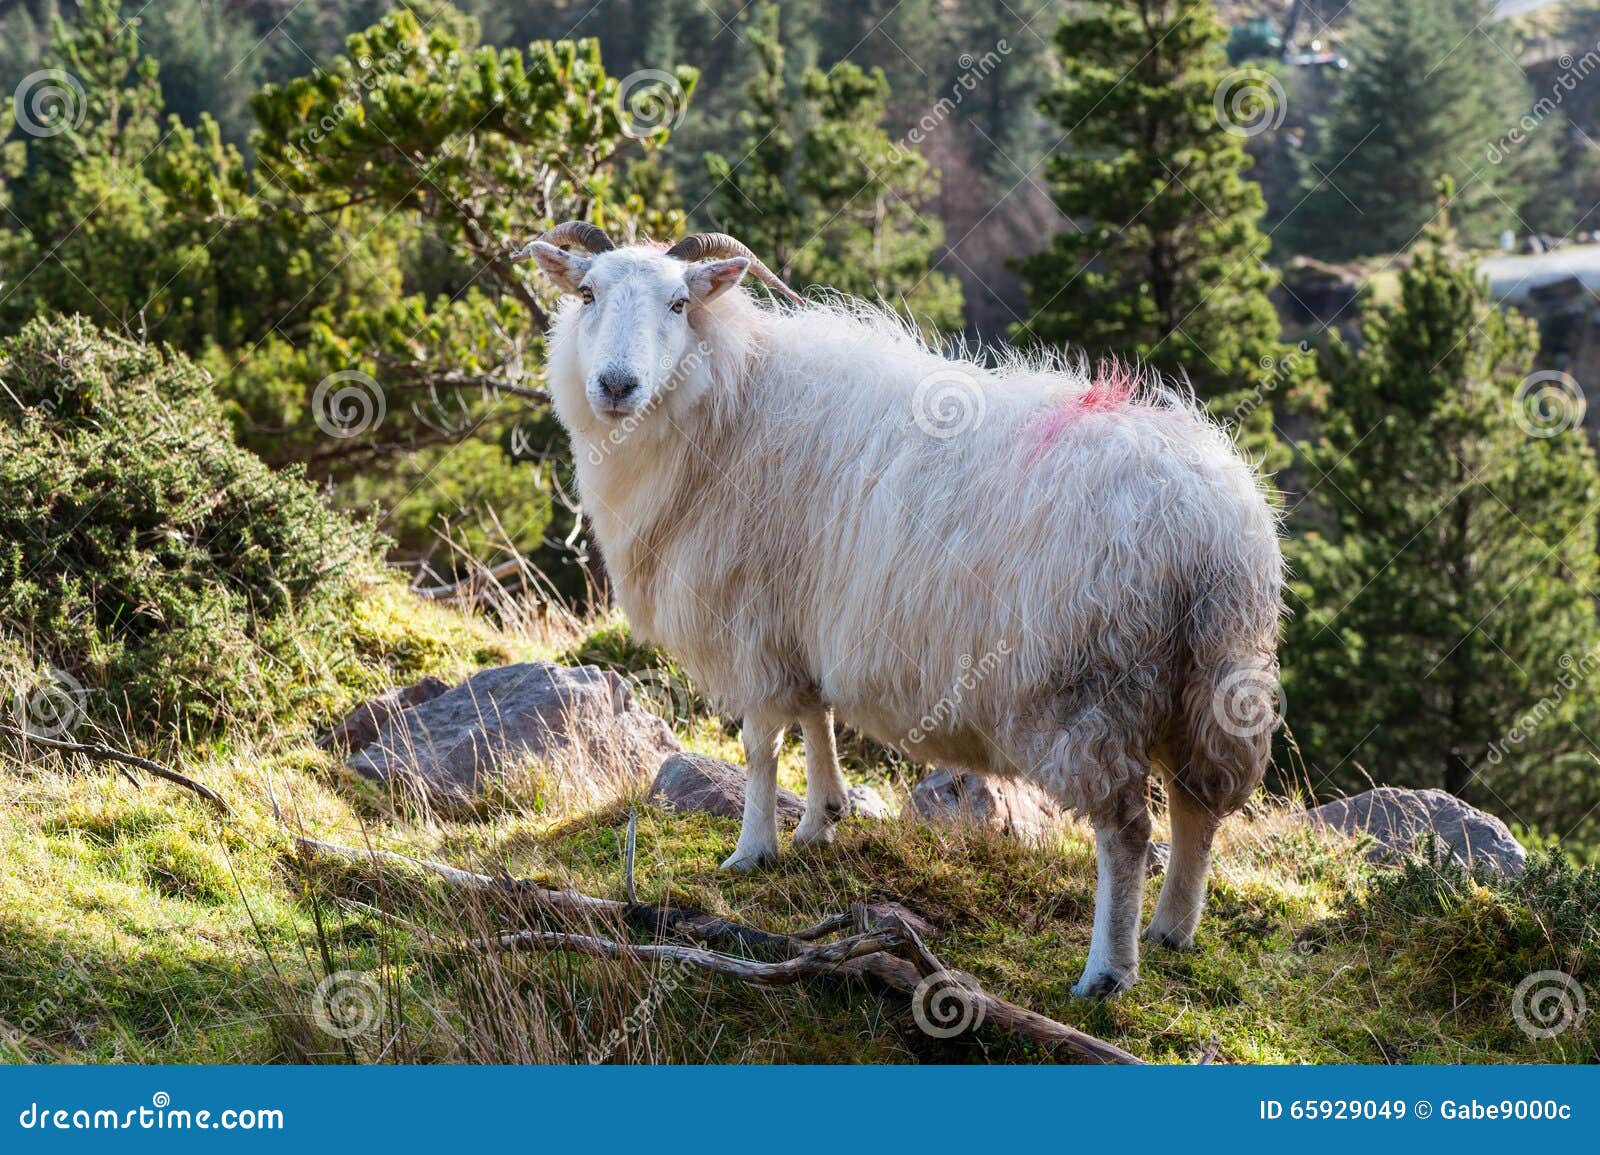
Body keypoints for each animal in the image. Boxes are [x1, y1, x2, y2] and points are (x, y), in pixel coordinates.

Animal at [514, 222, 1284, 997]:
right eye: (588, 293)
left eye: (678, 303)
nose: (616, 385)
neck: (730, 395)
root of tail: (1211, 525)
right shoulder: (801, 616)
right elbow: (815, 713)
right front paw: (821, 819)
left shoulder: (749, 620)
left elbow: (761, 746)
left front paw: (753, 849)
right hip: (1209, 677)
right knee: (1198, 806)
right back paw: (1173, 928)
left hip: (1090, 690)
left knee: (1126, 830)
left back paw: (1108, 970)